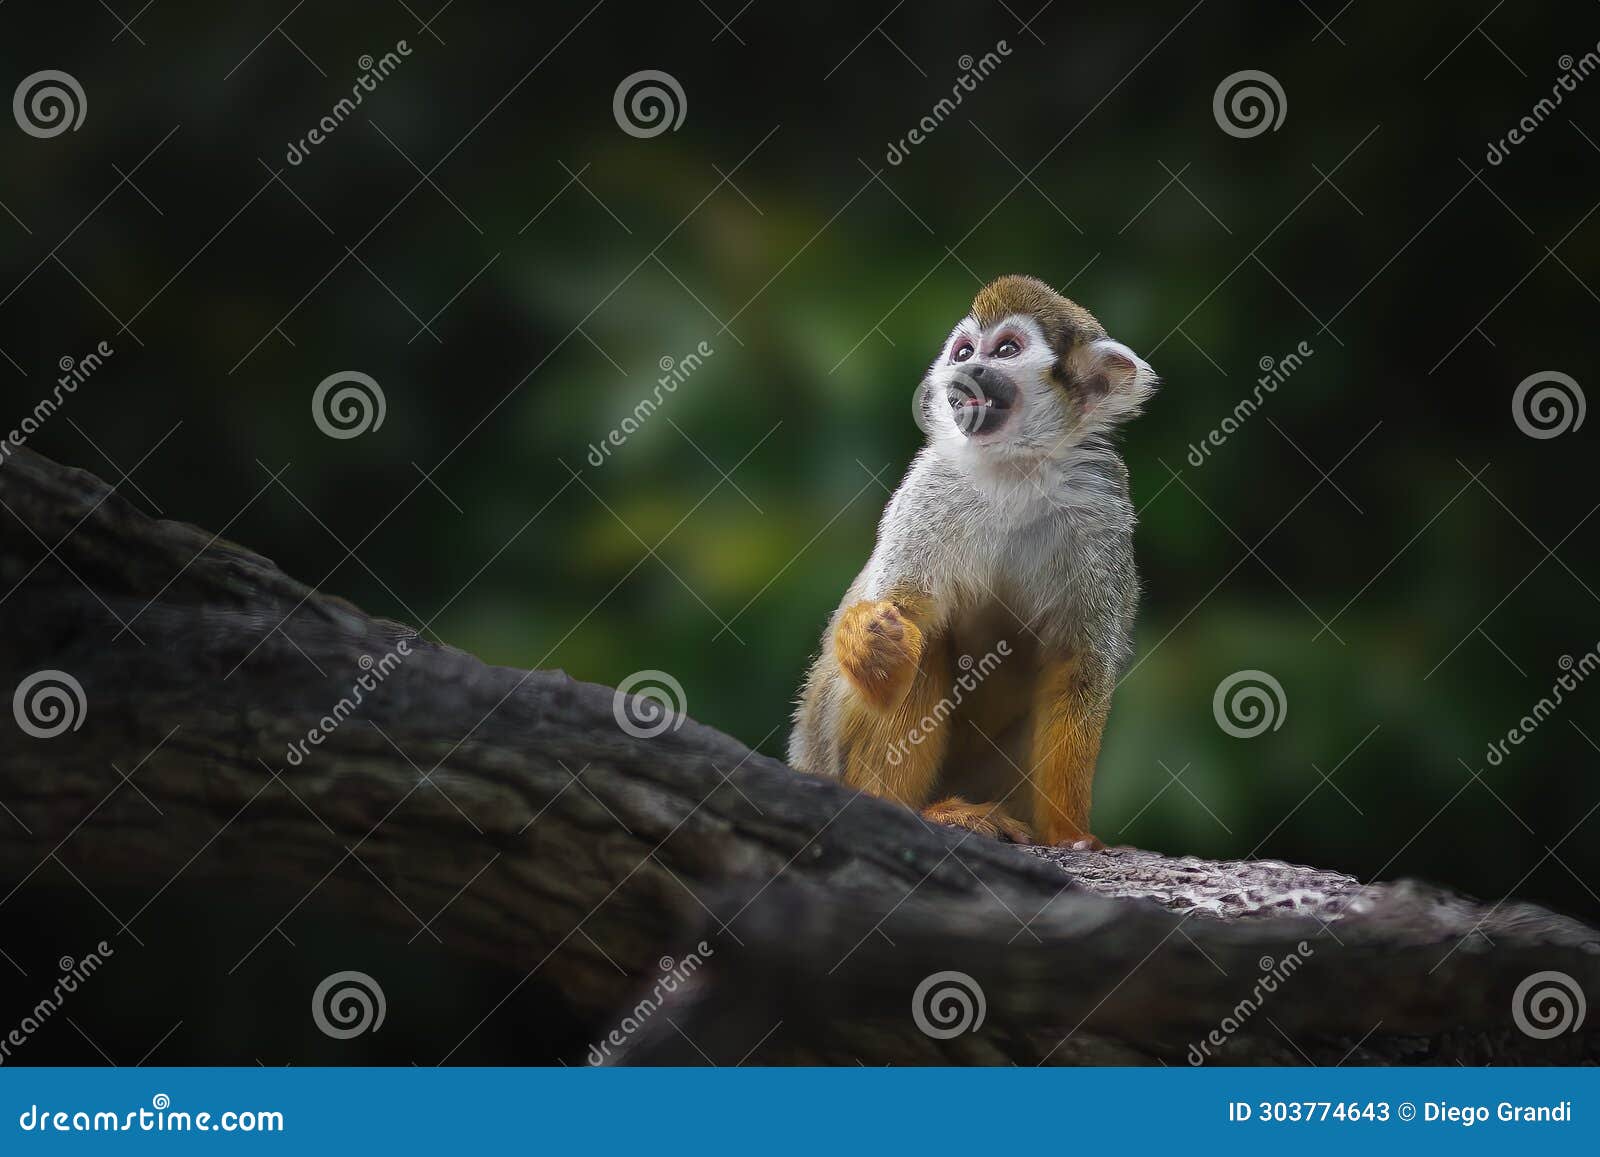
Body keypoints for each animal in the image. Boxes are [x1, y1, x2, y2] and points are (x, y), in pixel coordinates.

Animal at [788, 274, 1157, 849]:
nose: (967, 370)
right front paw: (871, 637)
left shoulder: (1101, 507)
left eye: (1005, 350)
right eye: (964, 352)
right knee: (924, 646)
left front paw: (1069, 832)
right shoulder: (930, 486)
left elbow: (1079, 665)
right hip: (827, 750)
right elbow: (900, 624)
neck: (1014, 470)